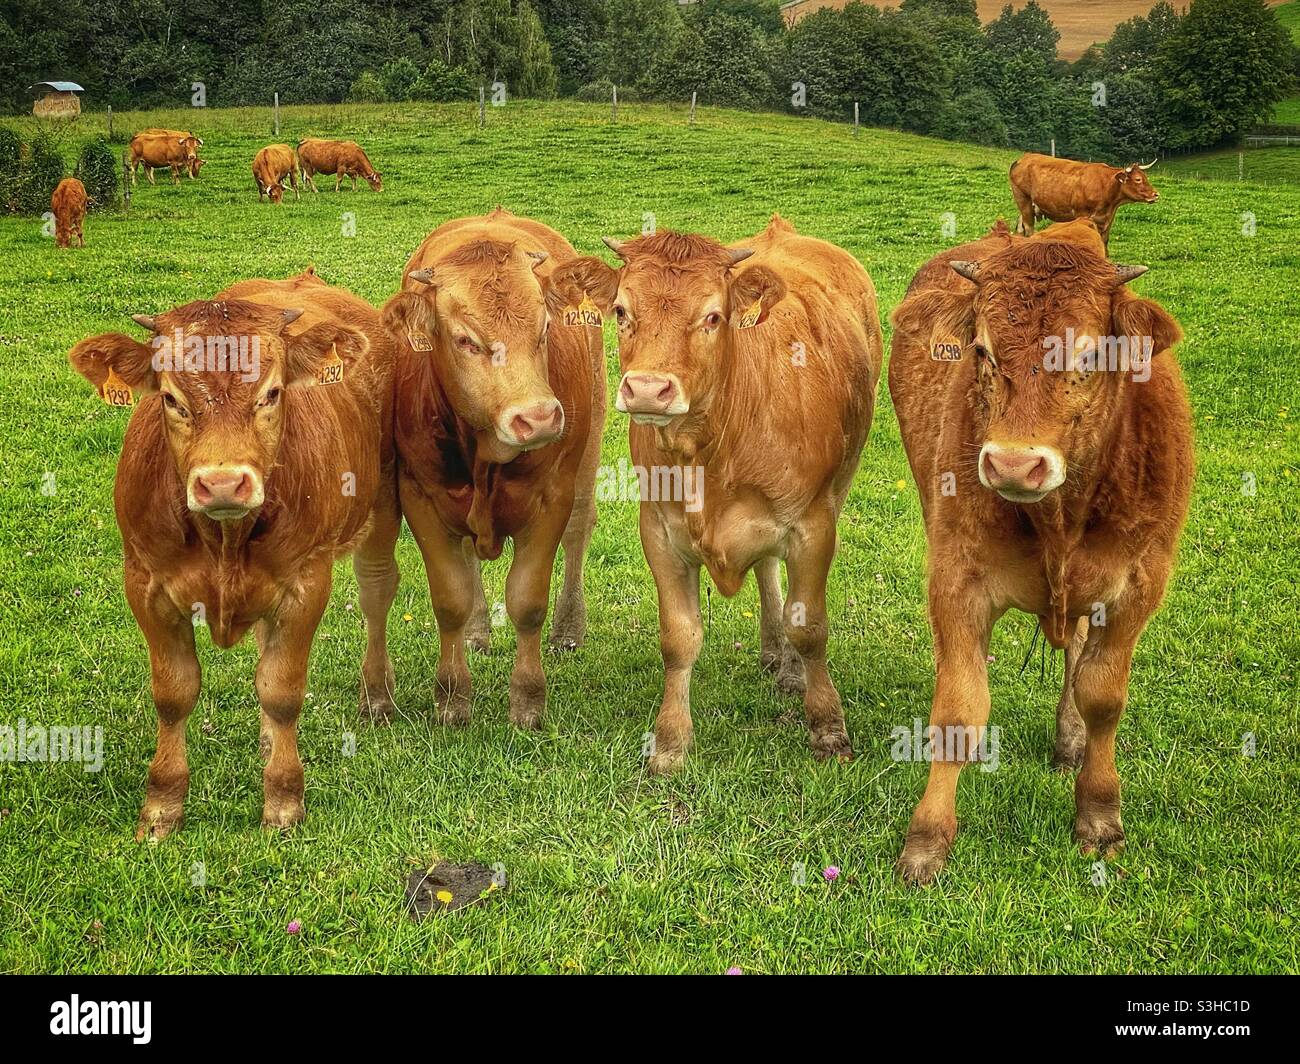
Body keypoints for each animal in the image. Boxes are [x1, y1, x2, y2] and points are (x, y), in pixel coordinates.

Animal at [66, 267, 400, 838]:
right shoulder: (145, 583)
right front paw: (161, 807)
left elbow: (281, 690)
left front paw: (284, 801)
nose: (222, 483)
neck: (224, 541)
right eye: (171, 399)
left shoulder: (307, 581)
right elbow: (174, 693)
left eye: (272, 393)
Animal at [379, 208, 605, 729]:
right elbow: (451, 599)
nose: (538, 417)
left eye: (545, 327)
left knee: (579, 532)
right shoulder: (420, 498)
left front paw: (527, 702)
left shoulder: (552, 498)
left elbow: (527, 602)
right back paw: (478, 631)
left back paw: (569, 628)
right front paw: (452, 698)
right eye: (465, 340)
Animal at [546, 215, 882, 772]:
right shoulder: (659, 531)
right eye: (622, 310)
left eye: (712, 316)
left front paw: (828, 728)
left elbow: (810, 628)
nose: (647, 389)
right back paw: (772, 650)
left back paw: (790, 670)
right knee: (767, 572)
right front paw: (670, 743)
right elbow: (679, 638)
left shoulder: (813, 526)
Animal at [887, 220, 1192, 884]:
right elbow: (958, 708)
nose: (1012, 463)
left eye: (1089, 355)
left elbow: (1104, 697)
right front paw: (927, 839)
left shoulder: (1139, 584)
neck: (1060, 518)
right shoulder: (956, 579)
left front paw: (1099, 816)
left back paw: (1069, 740)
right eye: (982, 351)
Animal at [1009, 152, 1159, 247]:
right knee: (1028, 228)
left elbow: (1104, 240)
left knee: (1020, 227)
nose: (1156, 194)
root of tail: (1022, 158)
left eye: (1145, 177)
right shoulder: (1081, 214)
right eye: (1138, 179)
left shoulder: (1108, 219)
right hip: (1022, 198)